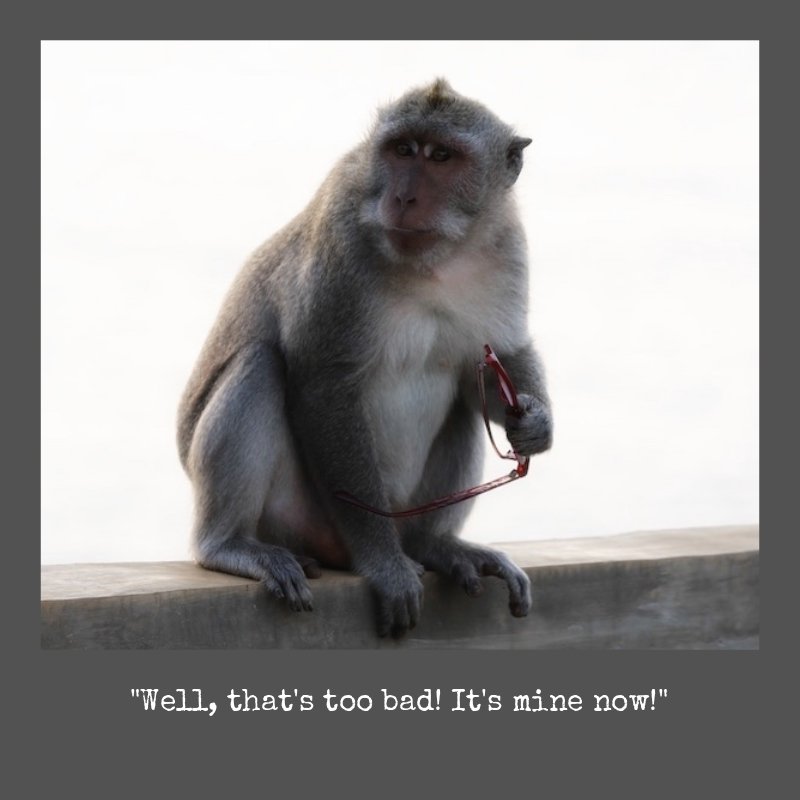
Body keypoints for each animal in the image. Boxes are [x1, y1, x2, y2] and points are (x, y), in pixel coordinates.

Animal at [177, 79, 553, 638]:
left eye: (442, 156)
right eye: (403, 150)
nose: (403, 196)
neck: (434, 260)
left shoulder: (507, 242)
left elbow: (494, 359)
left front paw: (535, 423)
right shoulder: (342, 235)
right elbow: (324, 383)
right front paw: (384, 565)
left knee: (460, 402)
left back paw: (434, 545)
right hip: (295, 519)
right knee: (260, 366)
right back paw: (230, 546)